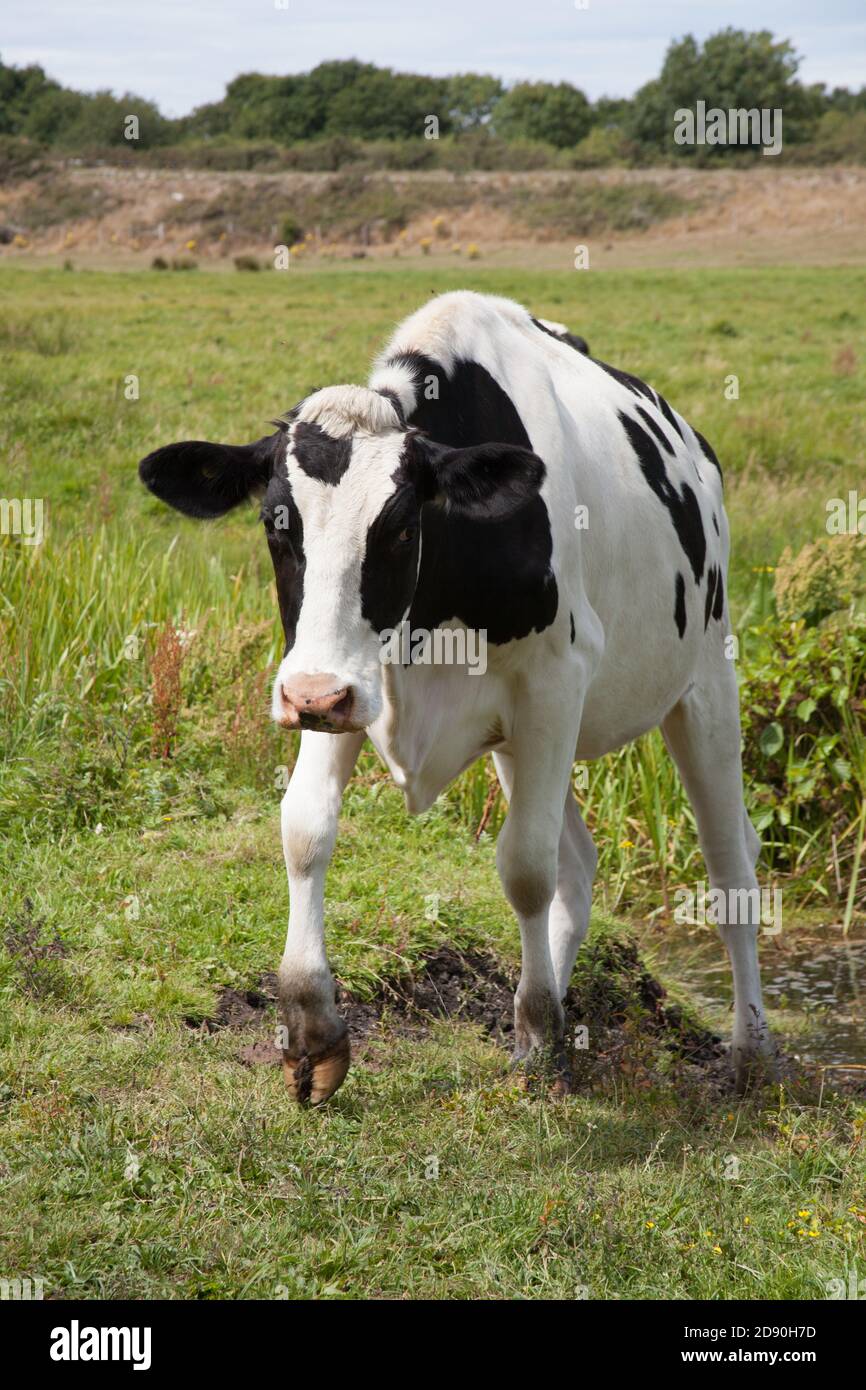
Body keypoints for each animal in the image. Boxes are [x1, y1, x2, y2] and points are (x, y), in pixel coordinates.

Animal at [139, 290, 775, 1105]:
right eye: (275, 523)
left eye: (401, 525)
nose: (310, 696)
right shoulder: (344, 680)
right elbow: (306, 830)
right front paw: (312, 1028)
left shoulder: (554, 681)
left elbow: (524, 866)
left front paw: (541, 1035)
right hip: (518, 740)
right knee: (579, 865)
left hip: (704, 684)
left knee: (729, 864)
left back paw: (750, 1049)